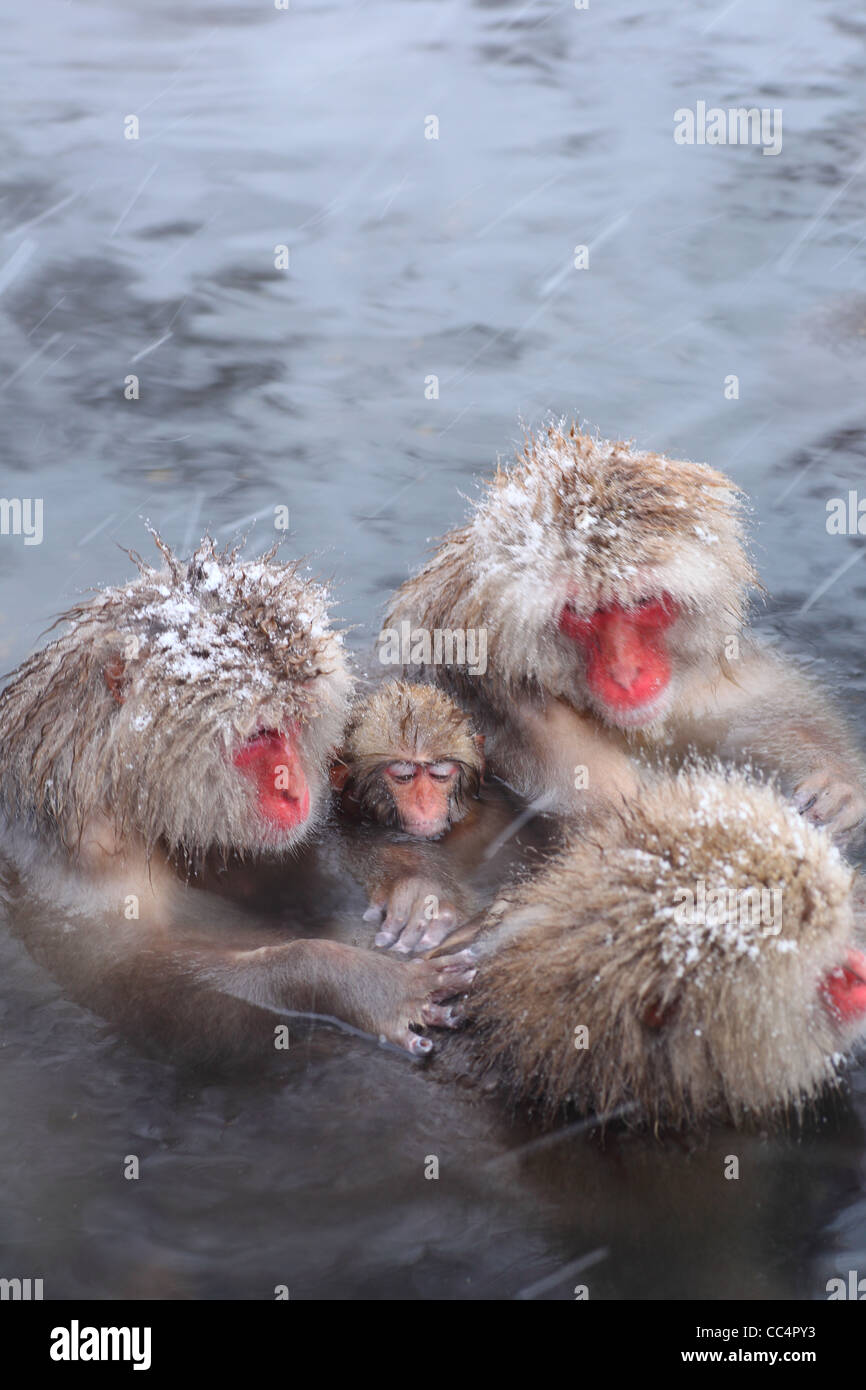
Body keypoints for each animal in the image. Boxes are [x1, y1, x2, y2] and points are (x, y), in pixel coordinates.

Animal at [0, 534, 475, 1062]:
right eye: (259, 734)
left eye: (295, 722)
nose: (294, 789)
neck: (123, 785)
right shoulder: (90, 853)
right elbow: (137, 978)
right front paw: (364, 982)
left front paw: (414, 888)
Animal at [384, 421, 866, 839]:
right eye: (581, 612)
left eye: (639, 603)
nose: (626, 673)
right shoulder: (549, 741)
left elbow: (763, 704)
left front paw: (838, 781)